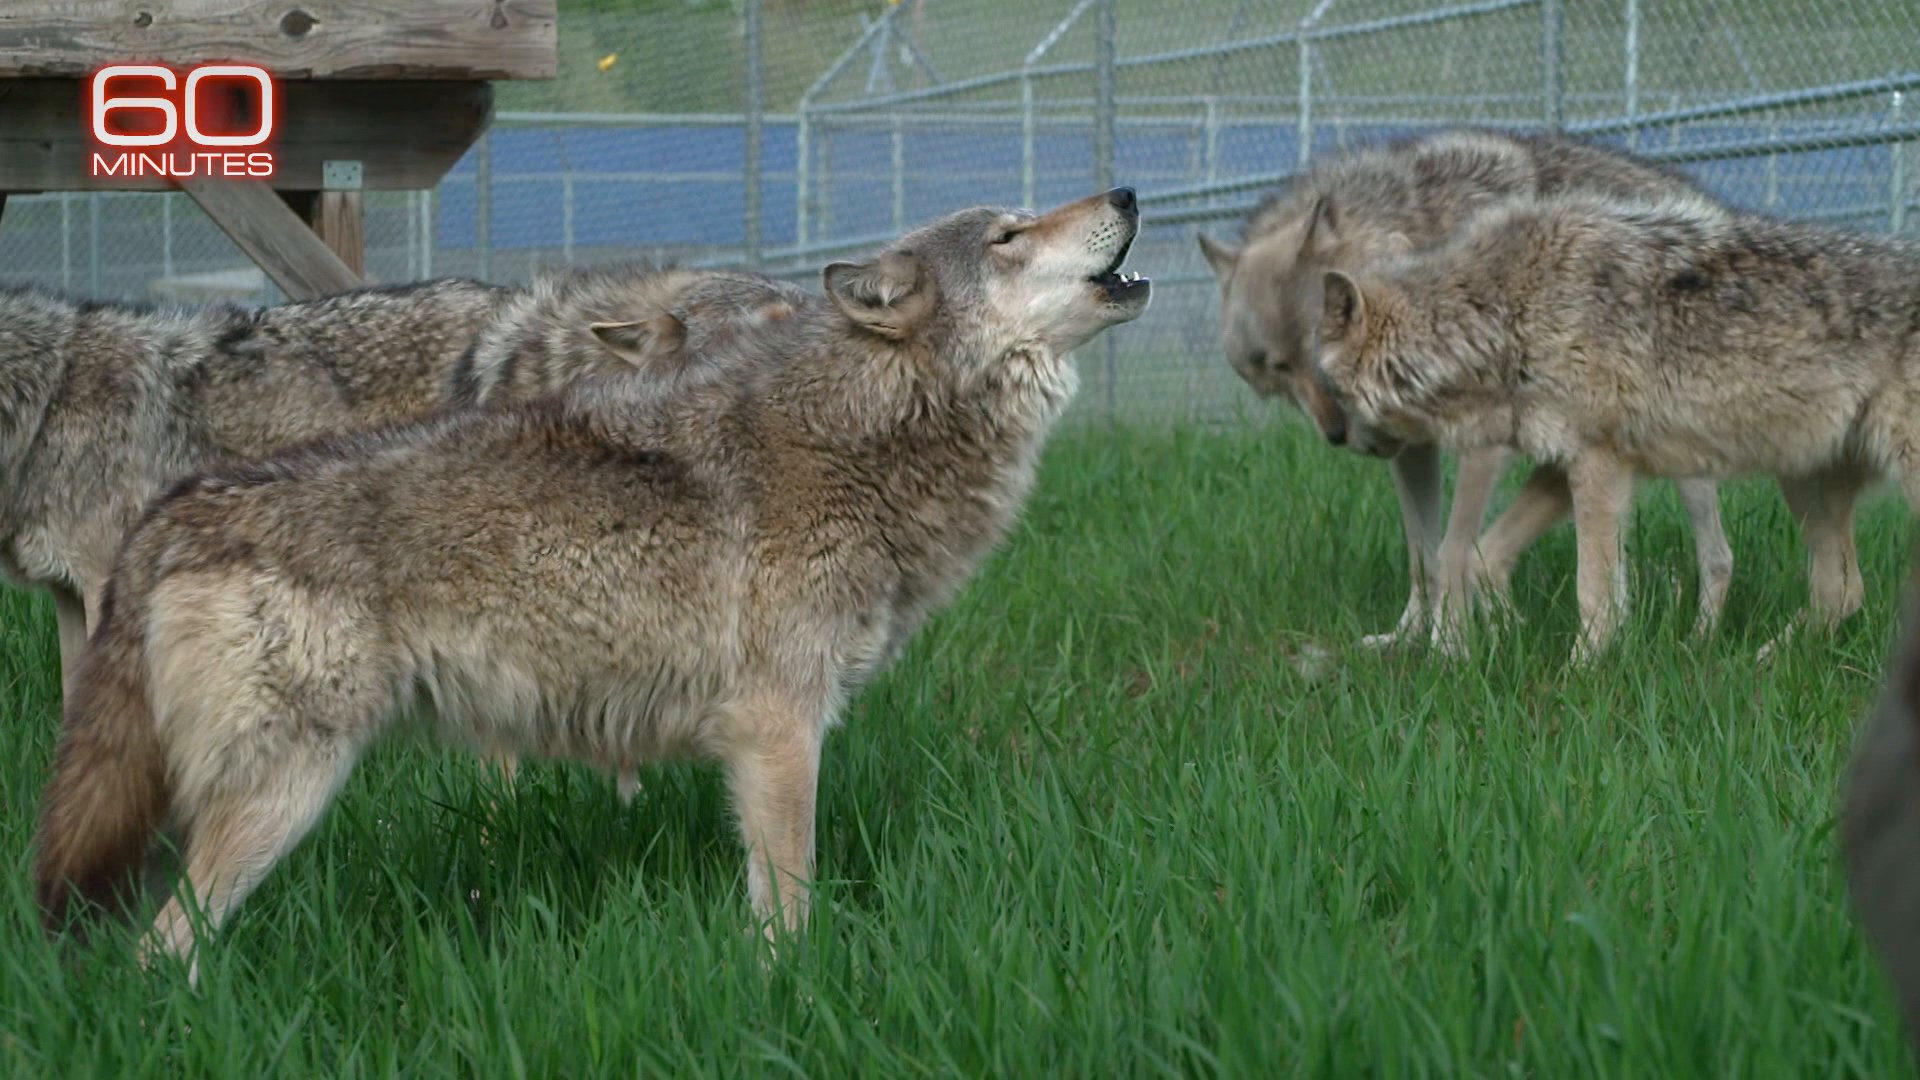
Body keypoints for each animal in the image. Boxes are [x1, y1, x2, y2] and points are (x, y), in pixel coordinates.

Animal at [32, 189, 1152, 981]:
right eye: (1009, 234)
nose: (1130, 191)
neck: (862, 432)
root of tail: (173, 511)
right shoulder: (779, 732)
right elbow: (790, 912)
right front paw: (794, 993)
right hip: (280, 797)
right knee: (160, 951)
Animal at [1197, 129, 1732, 651]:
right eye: (1279, 369)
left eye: (1322, 356)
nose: (1341, 437)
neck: (1422, 242)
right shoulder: (1413, 451)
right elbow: (1423, 554)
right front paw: (1412, 635)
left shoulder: (1485, 445)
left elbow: (1454, 549)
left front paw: (1448, 647)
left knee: (1718, 555)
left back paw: (1701, 638)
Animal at [1311, 187, 1920, 661]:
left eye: (1328, 387)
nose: (1334, 439)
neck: (1503, 311)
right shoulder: (1562, 464)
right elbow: (1483, 556)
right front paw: (1508, 635)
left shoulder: (1597, 464)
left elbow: (1593, 591)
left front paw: (1581, 671)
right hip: (1799, 479)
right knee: (1841, 589)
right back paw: (1759, 660)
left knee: (1837, 588)